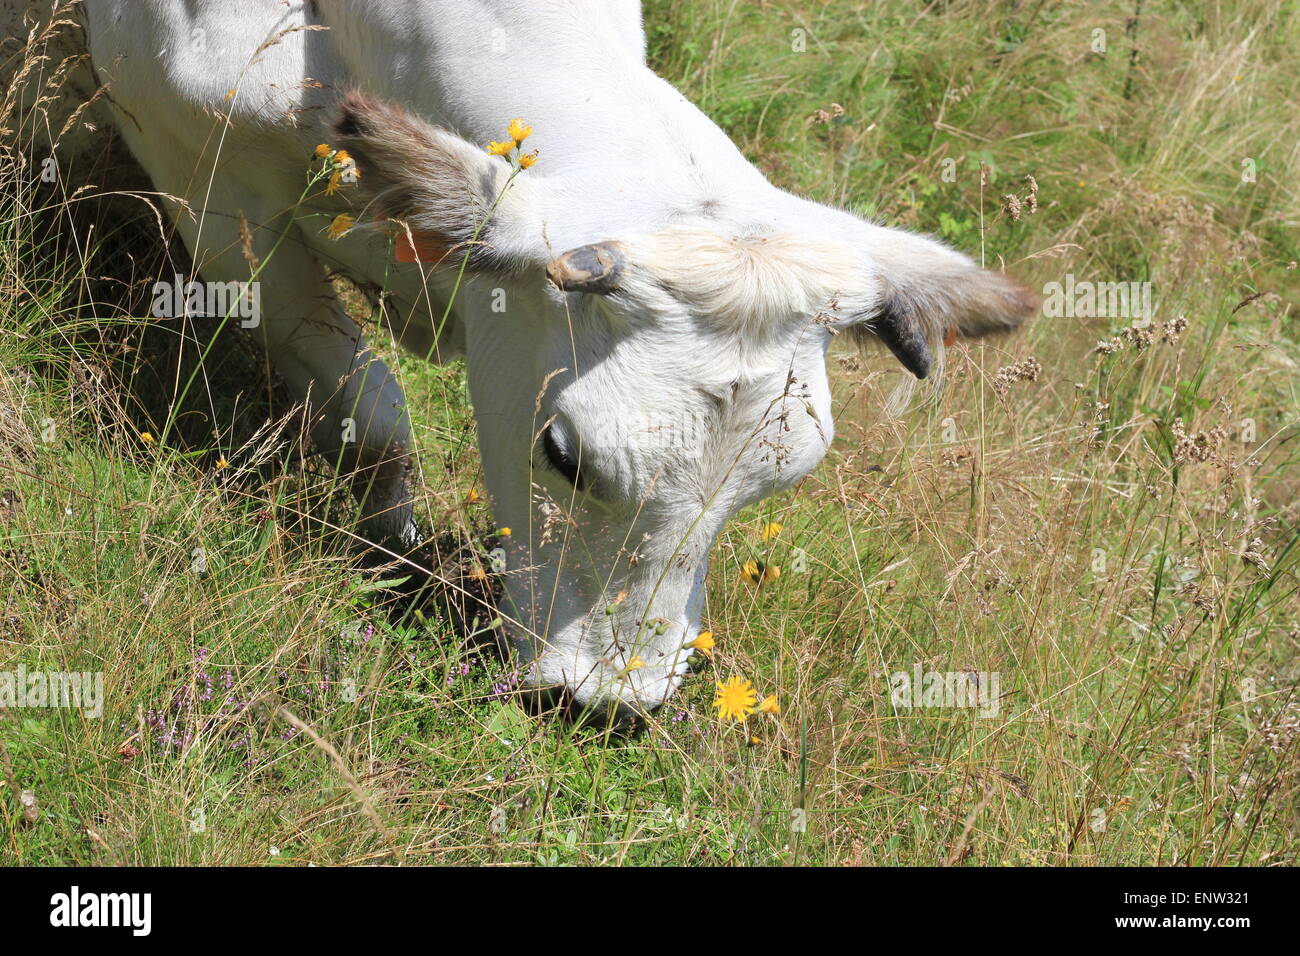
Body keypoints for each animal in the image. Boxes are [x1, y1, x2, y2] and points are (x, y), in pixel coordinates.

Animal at [7, 0, 1035, 719]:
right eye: (564, 454)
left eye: (775, 483)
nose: (608, 704)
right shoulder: (217, 198)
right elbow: (374, 415)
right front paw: (393, 545)